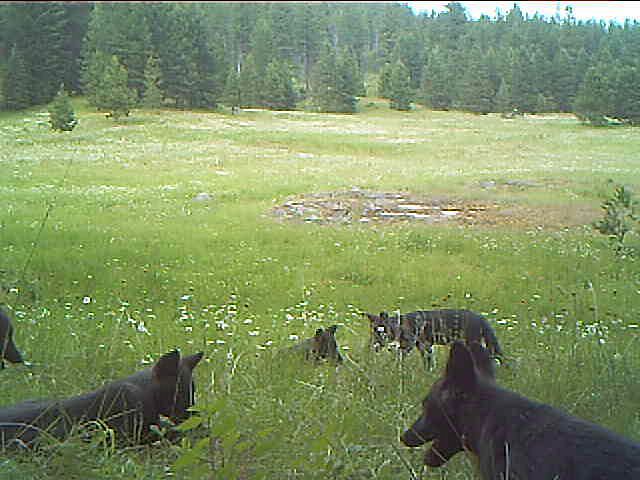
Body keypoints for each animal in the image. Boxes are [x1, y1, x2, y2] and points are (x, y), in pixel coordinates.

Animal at [366, 309, 502, 368]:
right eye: (373, 330)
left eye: (381, 330)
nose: (374, 345)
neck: (401, 324)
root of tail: (481, 317)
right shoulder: (423, 345)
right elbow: (428, 360)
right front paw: (428, 371)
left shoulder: (409, 345)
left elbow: (400, 359)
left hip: (472, 342)